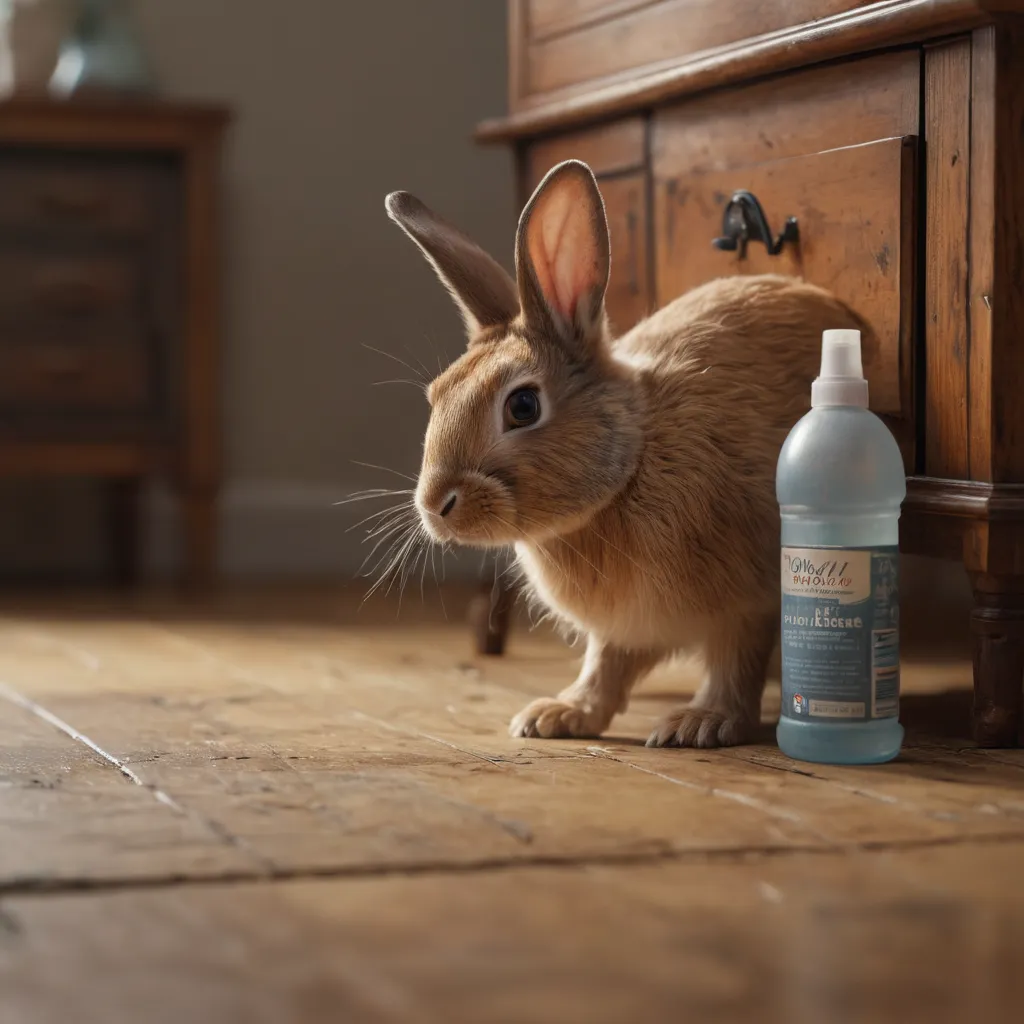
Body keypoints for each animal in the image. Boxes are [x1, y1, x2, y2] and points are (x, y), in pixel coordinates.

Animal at [385, 159, 869, 748]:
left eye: (522, 406)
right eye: (436, 395)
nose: (436, 506)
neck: (631, 465)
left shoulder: (750, 599)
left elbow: (735, 661)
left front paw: (701, 723)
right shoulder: (625, 628)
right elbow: (605, 666)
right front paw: (559, 715)